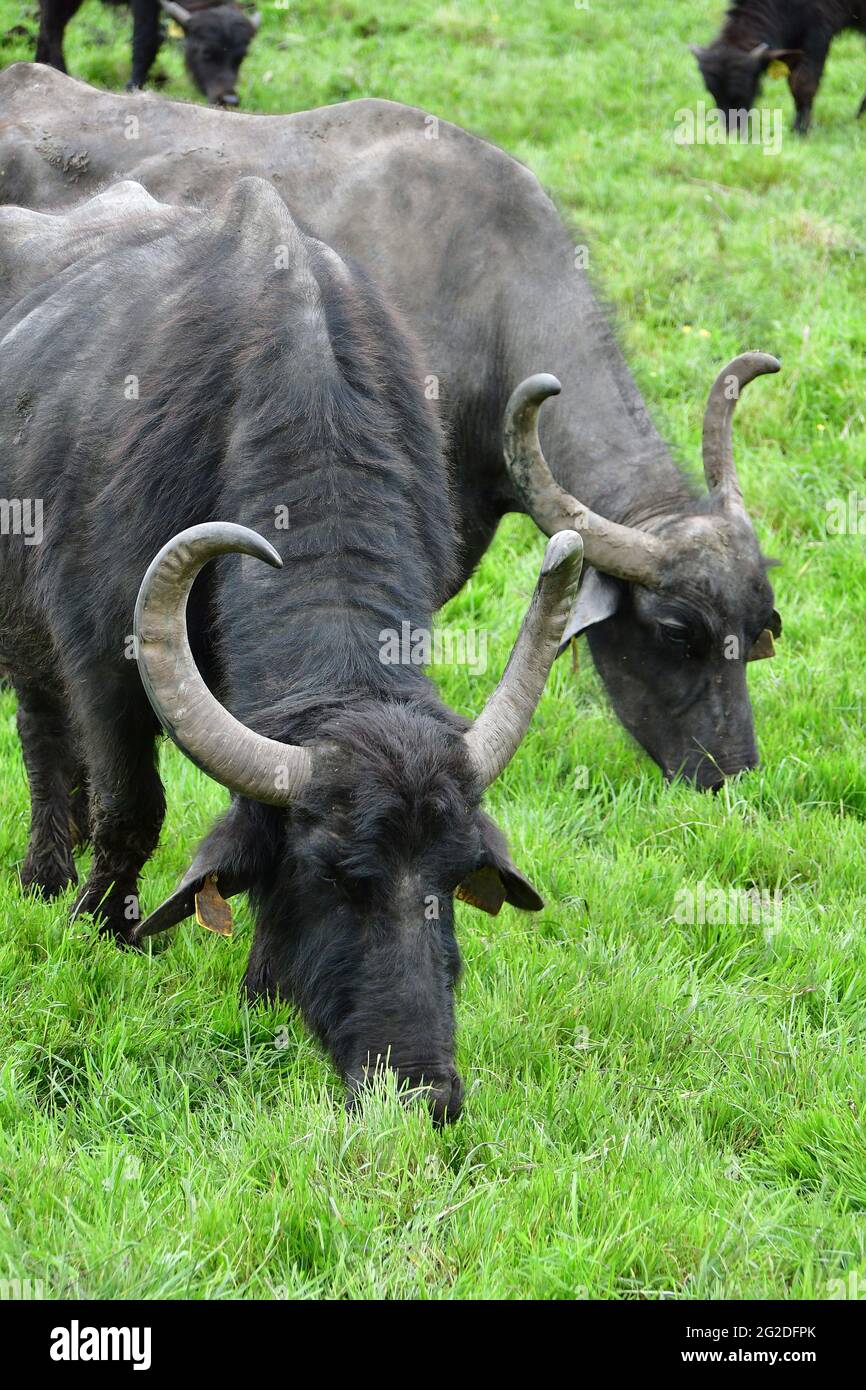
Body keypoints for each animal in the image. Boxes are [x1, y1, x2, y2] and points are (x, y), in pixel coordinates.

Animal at [0, 178, 582, 1122]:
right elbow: (132, 811)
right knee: (48, 738)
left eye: (454, 879)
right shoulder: (102, 659)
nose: (424, 1091)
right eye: (335, 875)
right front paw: (102, 929)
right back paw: (47, 877)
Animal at [690, 1, 866, 133]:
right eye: (713, 92)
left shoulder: (818, 35)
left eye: (742, 90)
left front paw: (800, 130)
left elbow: (803, 83)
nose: (731, 131)